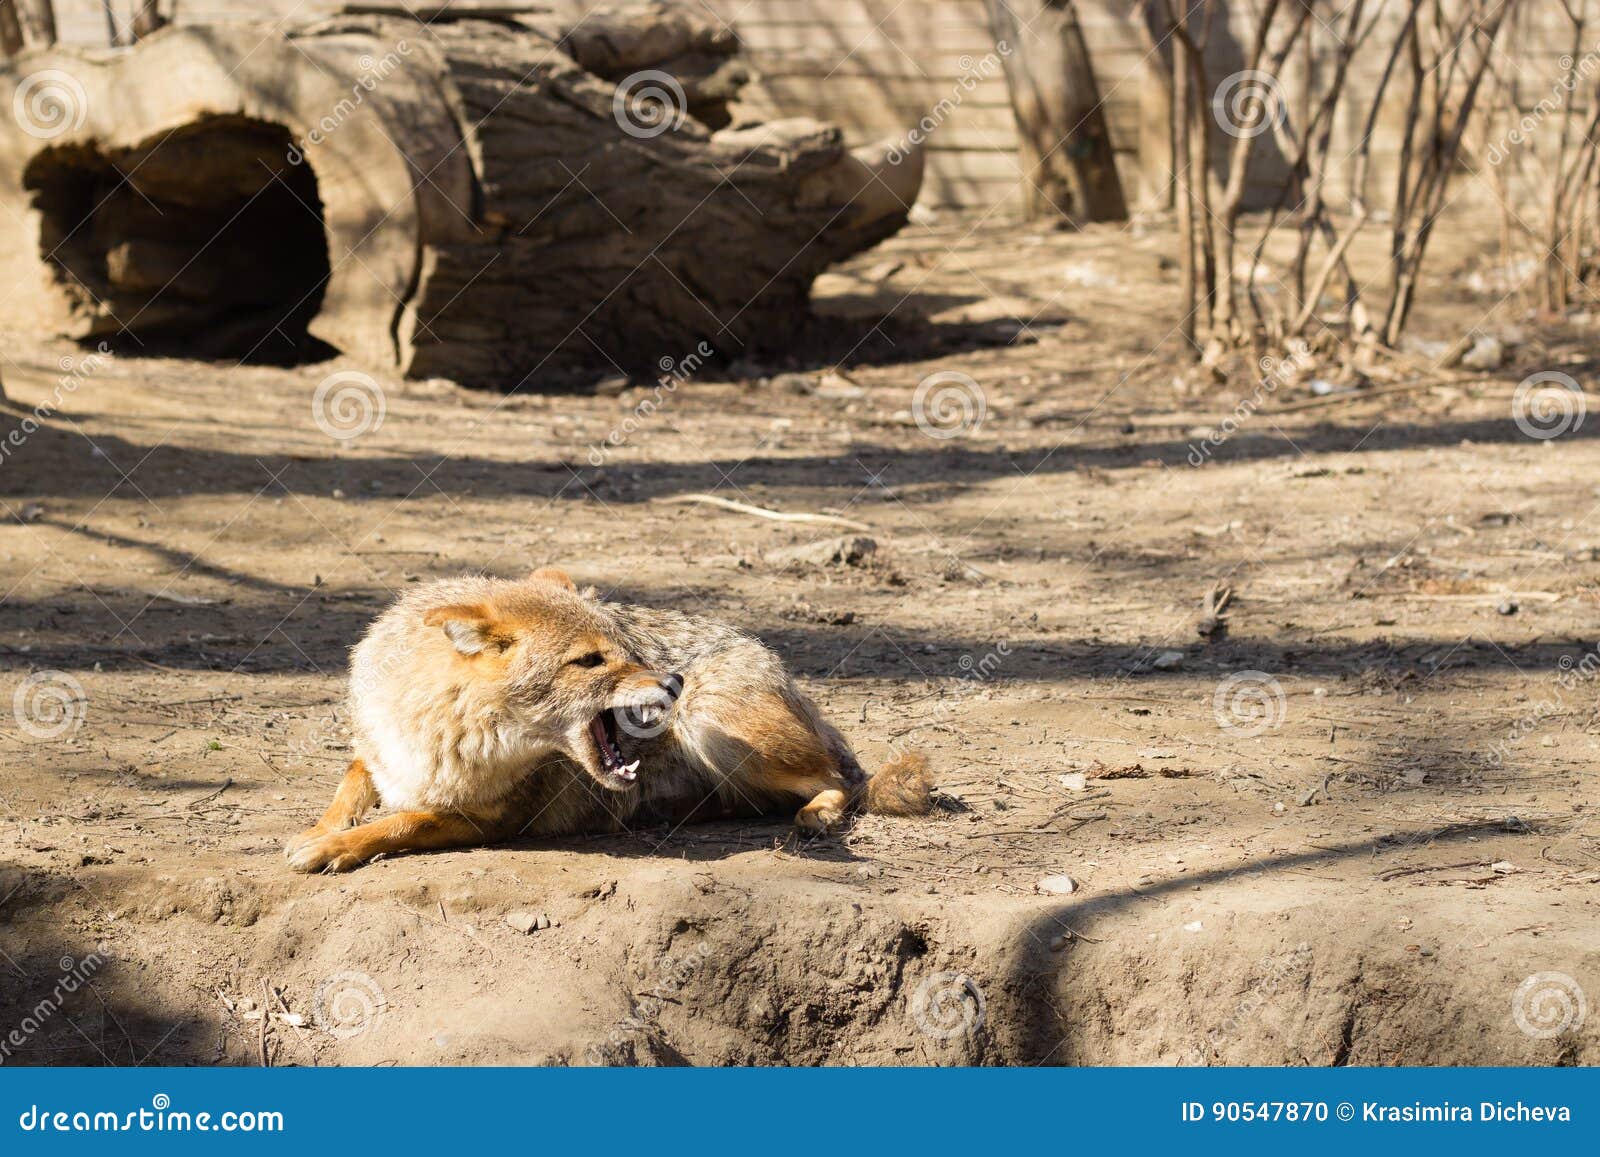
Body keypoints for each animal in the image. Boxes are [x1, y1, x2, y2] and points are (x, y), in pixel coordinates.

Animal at [285, 566, 934, 872]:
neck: (441, 732)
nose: (672, 680)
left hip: (711, 724)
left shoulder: (490, 821)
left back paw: (817, 814)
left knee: (843, 781)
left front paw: (332, 846)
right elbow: (351, 785)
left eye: (623, 647)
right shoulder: (378, 754)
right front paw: (323, 829)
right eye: (591, 660)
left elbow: (402, 823)